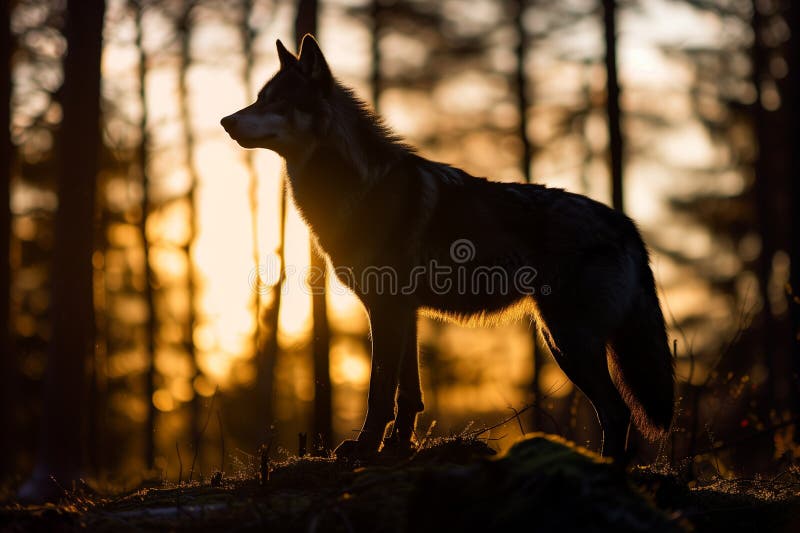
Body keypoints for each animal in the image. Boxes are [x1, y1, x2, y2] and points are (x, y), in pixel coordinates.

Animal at [221, 35, 674, 461]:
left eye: (276, 101)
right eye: (259, 97)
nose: (225, 120)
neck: (357, 187)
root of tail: (626, 224)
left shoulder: (385, 309)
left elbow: (379, 393)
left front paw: (365, 448)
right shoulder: (405, 312)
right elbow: (408, 395)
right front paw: (397, 449)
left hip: (568, 340)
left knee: (617, 412)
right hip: (562, 339)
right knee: (616, 413)